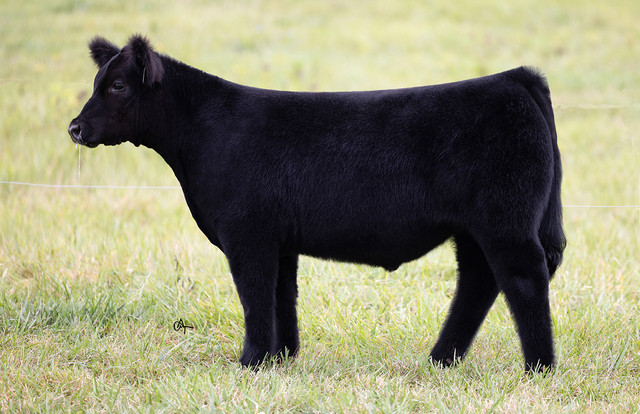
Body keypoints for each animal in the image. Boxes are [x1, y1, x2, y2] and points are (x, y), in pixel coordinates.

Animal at [68, 34, 566, 372]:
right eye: (96, 81)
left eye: (117, 86)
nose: (75, 128)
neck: (202, 136)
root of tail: (513, 79)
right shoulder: (280, 240)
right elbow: (281, 296)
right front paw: (281, 357)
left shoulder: (247, 234)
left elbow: (255, 296)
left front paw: (251, 361)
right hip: (475, 228)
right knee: (479, 281)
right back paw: (442, 359)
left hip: (506, 223)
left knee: (523, 278)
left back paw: (538, 367)